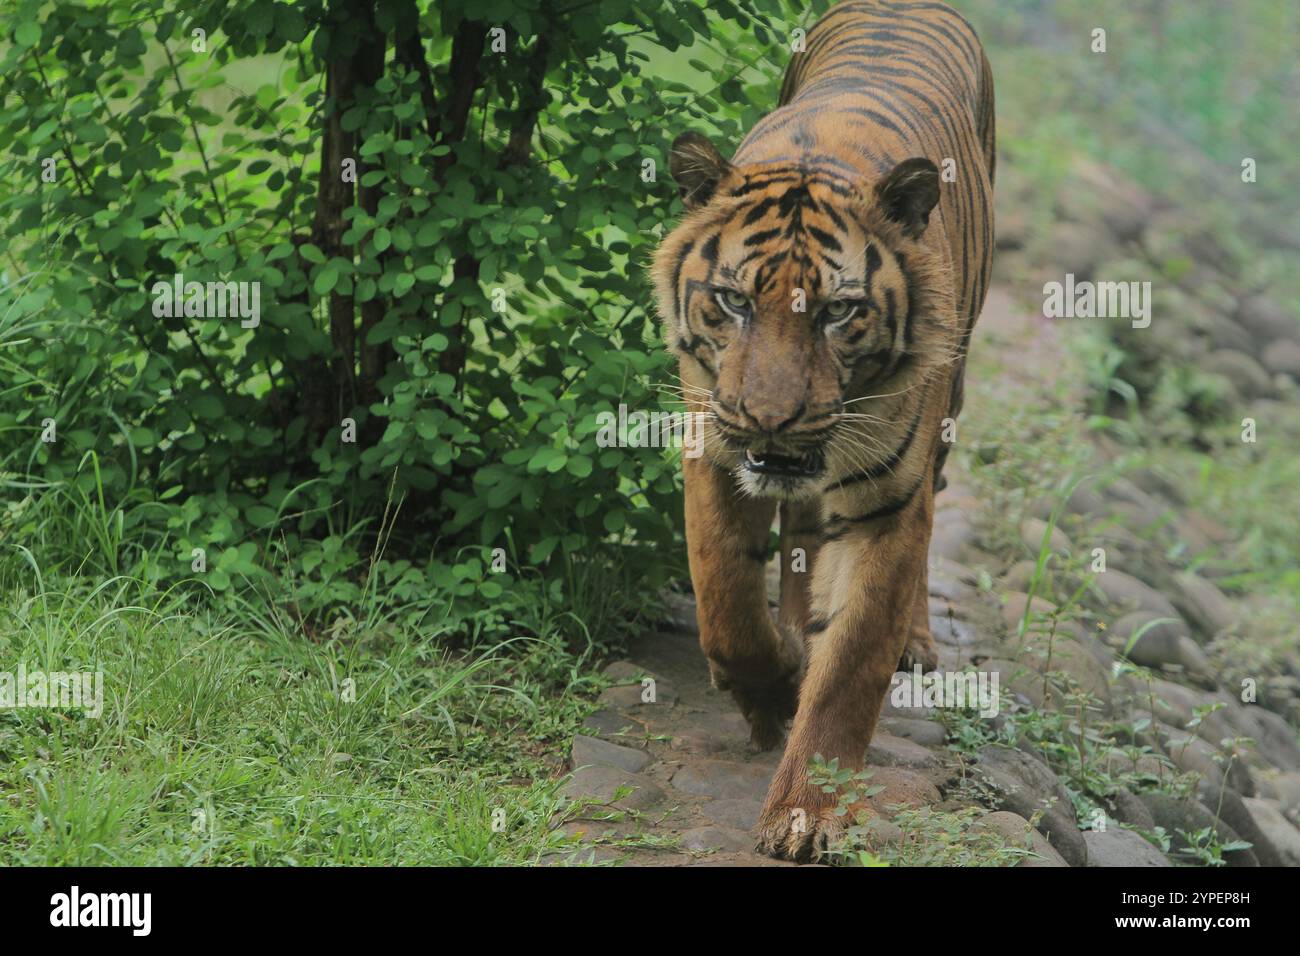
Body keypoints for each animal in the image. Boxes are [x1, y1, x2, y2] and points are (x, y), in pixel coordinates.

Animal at [651, 0, 995, 861]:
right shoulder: (714, 447)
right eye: (733, 302)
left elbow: (851, 670)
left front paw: (809, 814)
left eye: (840, 312)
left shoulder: (888, 501)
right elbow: (725, 600)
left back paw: (912, 645)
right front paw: (772, 690)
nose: (771, 419)